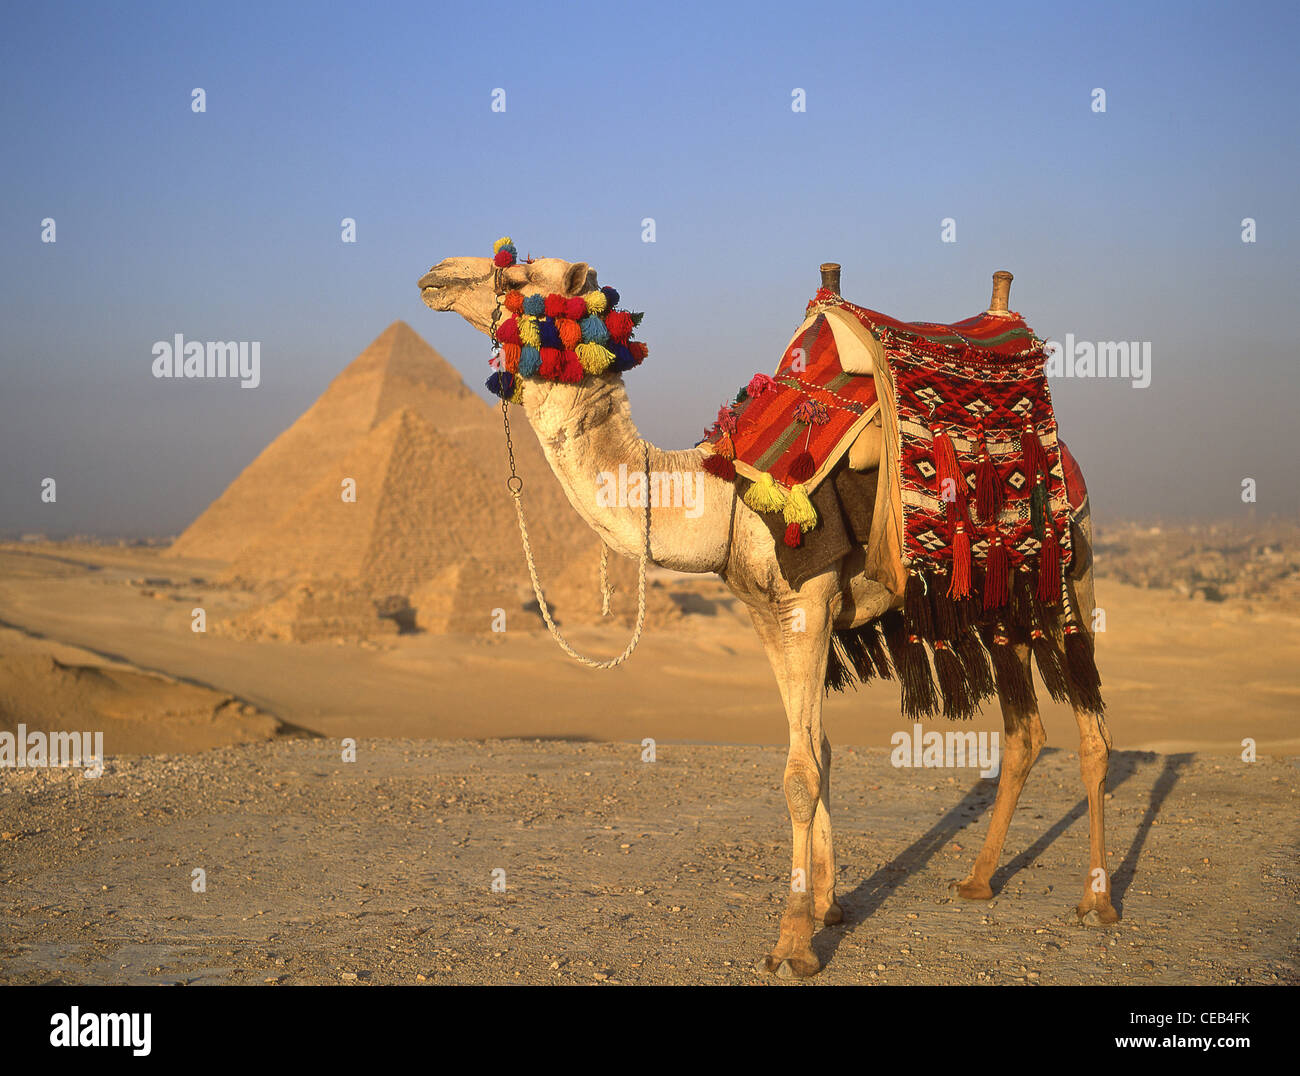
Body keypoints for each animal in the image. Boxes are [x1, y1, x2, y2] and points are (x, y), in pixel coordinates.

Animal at [418, 250, 1116, 978]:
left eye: (517, 275)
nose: (437, 273)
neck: (715, 495)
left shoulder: (804, 604)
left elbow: (800, 775)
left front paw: (792, 944)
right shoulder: (767, 615)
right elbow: (820, 752)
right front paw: (830, 907)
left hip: (1073, 568)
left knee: (1094, 732)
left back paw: (1097, 903)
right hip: (996, 597)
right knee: (1024, 731)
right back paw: (979, 880)